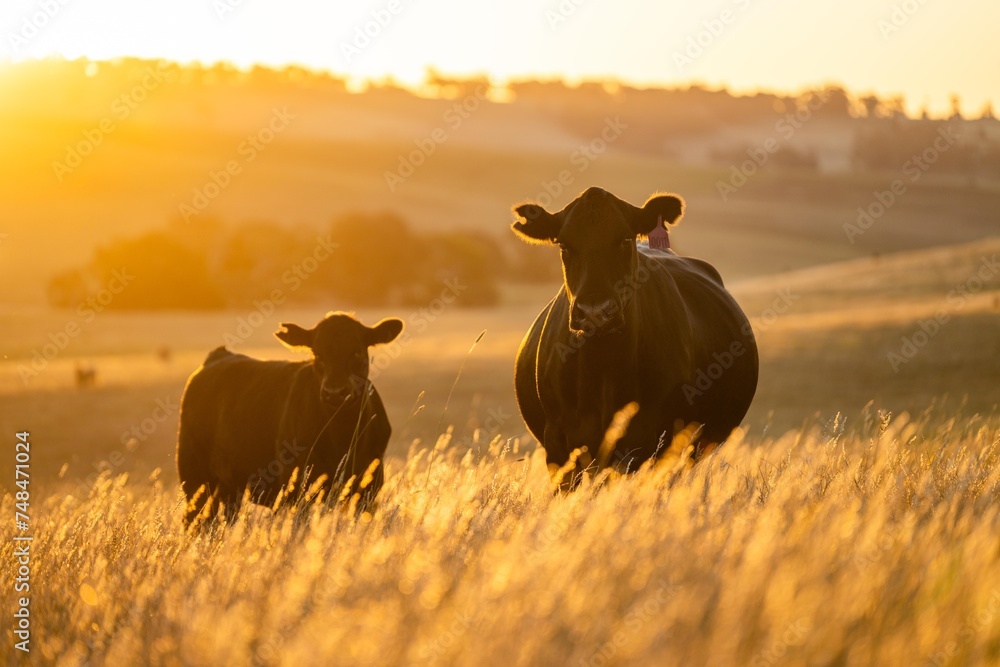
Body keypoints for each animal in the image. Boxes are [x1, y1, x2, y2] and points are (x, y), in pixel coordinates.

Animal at [176, 312, 403, 526]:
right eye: (317, 353)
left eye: (357, 350)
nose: (335, 393)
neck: (341, 435)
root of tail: (219, 355)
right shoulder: (295, 487)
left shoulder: (369, 487)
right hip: (195, 479)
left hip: (228, 488)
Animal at [511, 187, 758, 487]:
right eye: (564, 245)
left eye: (625, 238)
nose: (595, 311)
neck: (604, 364)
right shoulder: (560, 446)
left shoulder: (654, 441)